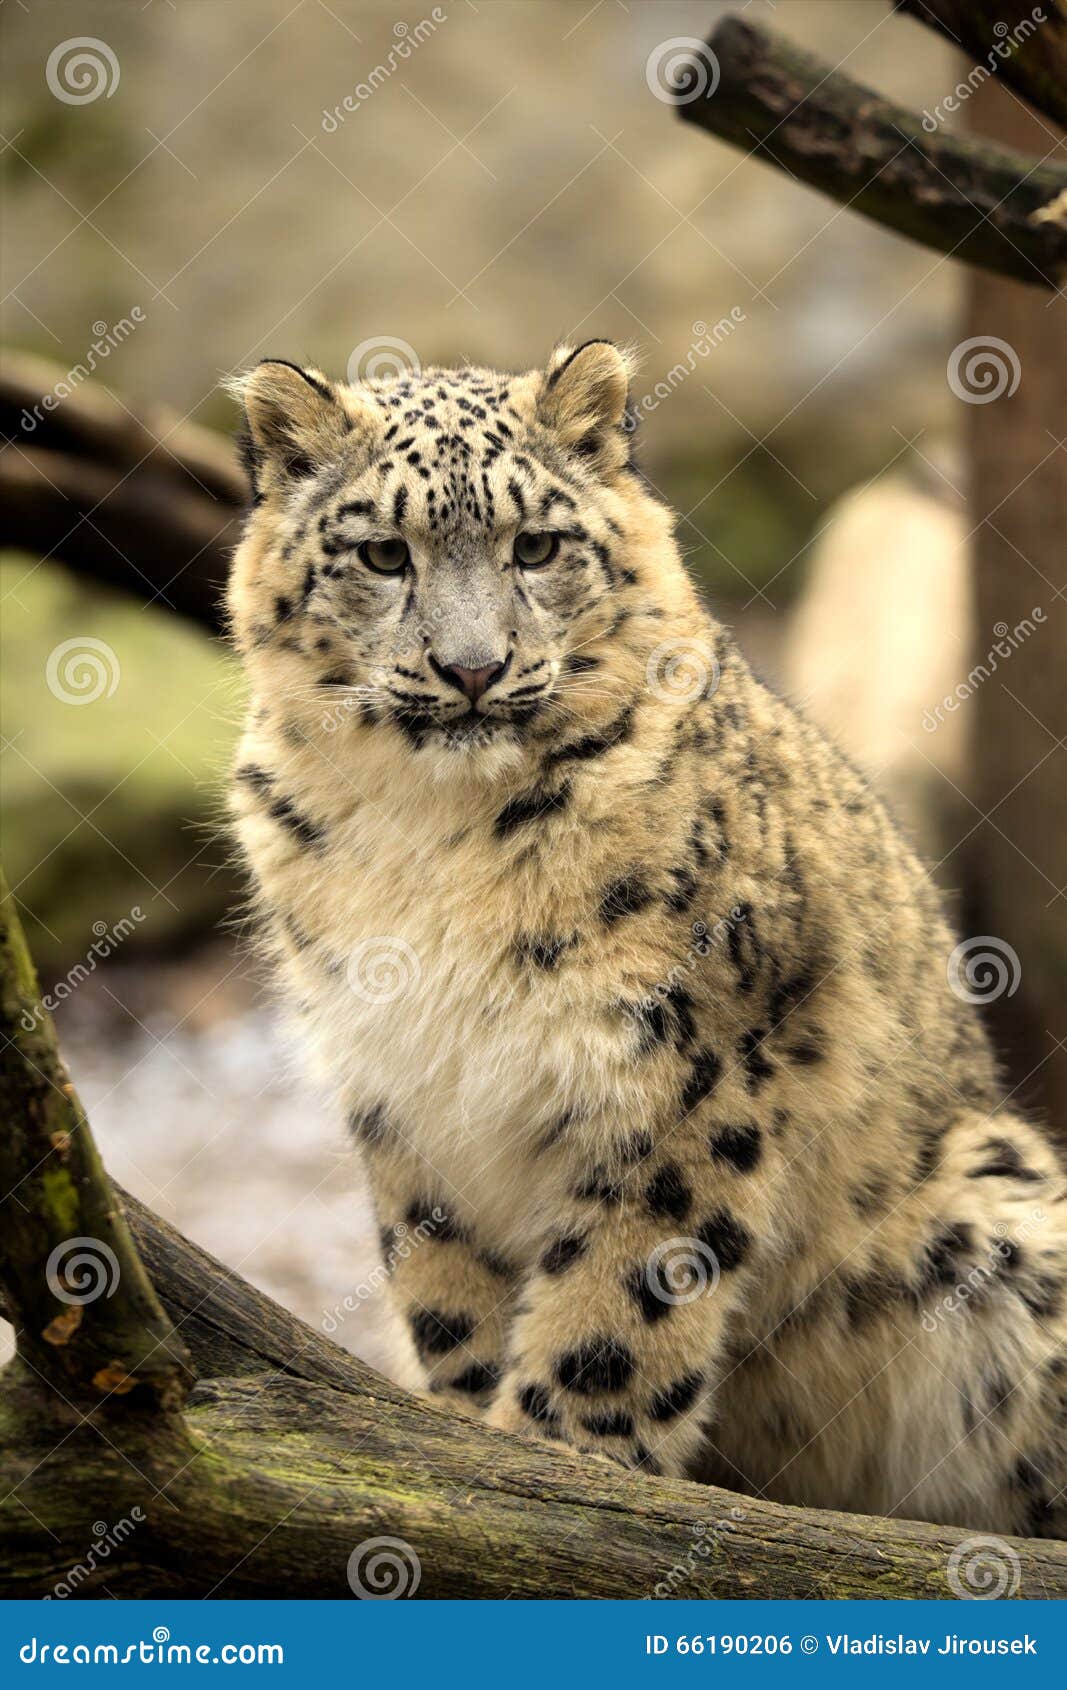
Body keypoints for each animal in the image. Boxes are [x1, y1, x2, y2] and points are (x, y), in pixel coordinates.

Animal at [226, 340, 1067, 1536]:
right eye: (382, 553)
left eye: (536, 544)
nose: (472, 668)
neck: (430, 834)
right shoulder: (401, 1088)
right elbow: (446, 1288)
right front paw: (465, 1439)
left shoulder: (683, 1070)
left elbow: (616, 1297)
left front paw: (564, 1462)